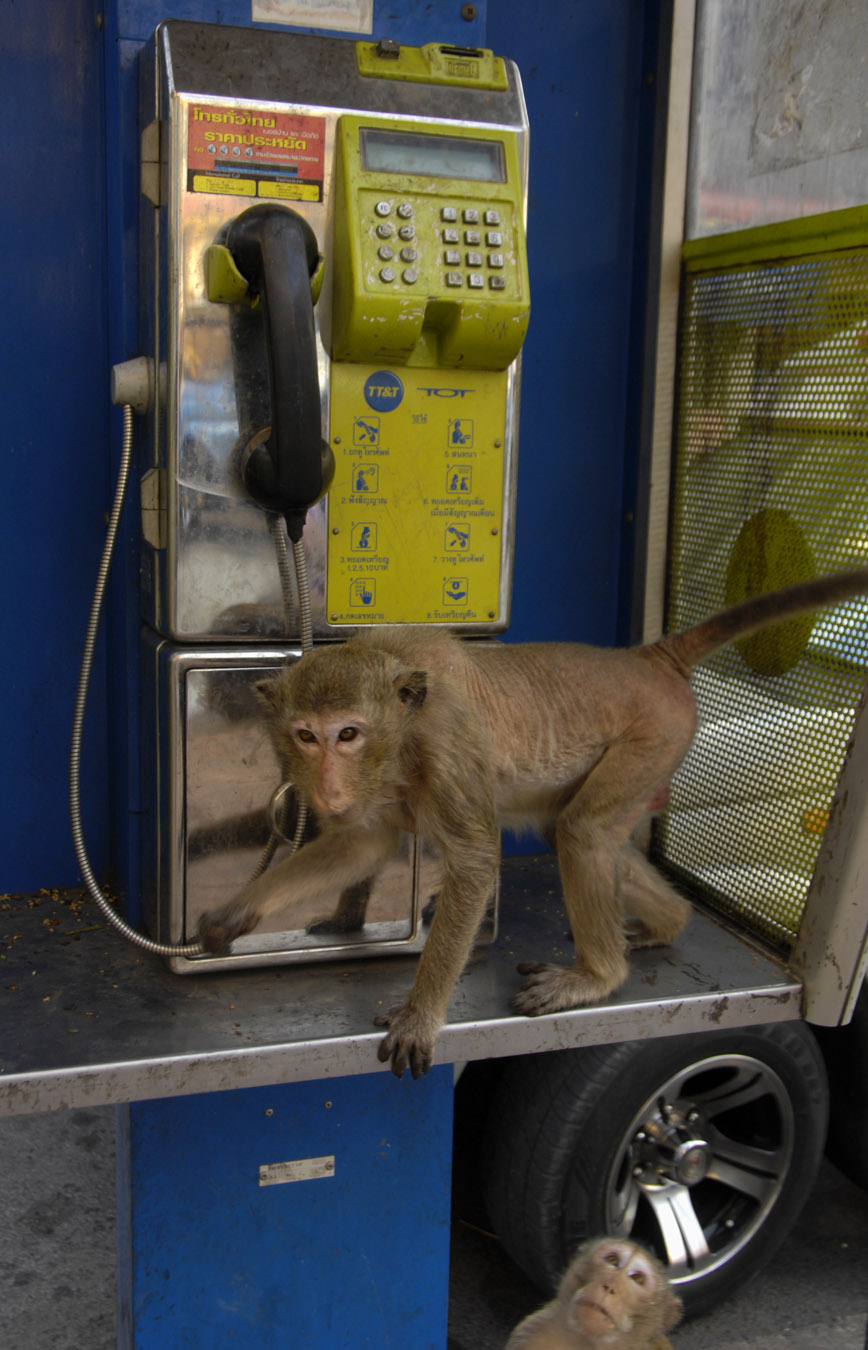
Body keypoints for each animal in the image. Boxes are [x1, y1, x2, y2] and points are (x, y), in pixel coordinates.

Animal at [197, 567, 868, 1078]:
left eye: (348, 735)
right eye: (306, 736)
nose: (328, 786)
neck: (400, 720)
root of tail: (647, 659)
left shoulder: (444, 745)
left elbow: (473, 863)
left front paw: (421, 1014)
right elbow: (363, 844)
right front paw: (239, 910)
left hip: (655, 736)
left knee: (582, 834)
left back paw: (597, 976)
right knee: (574, 831)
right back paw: (667, 923)